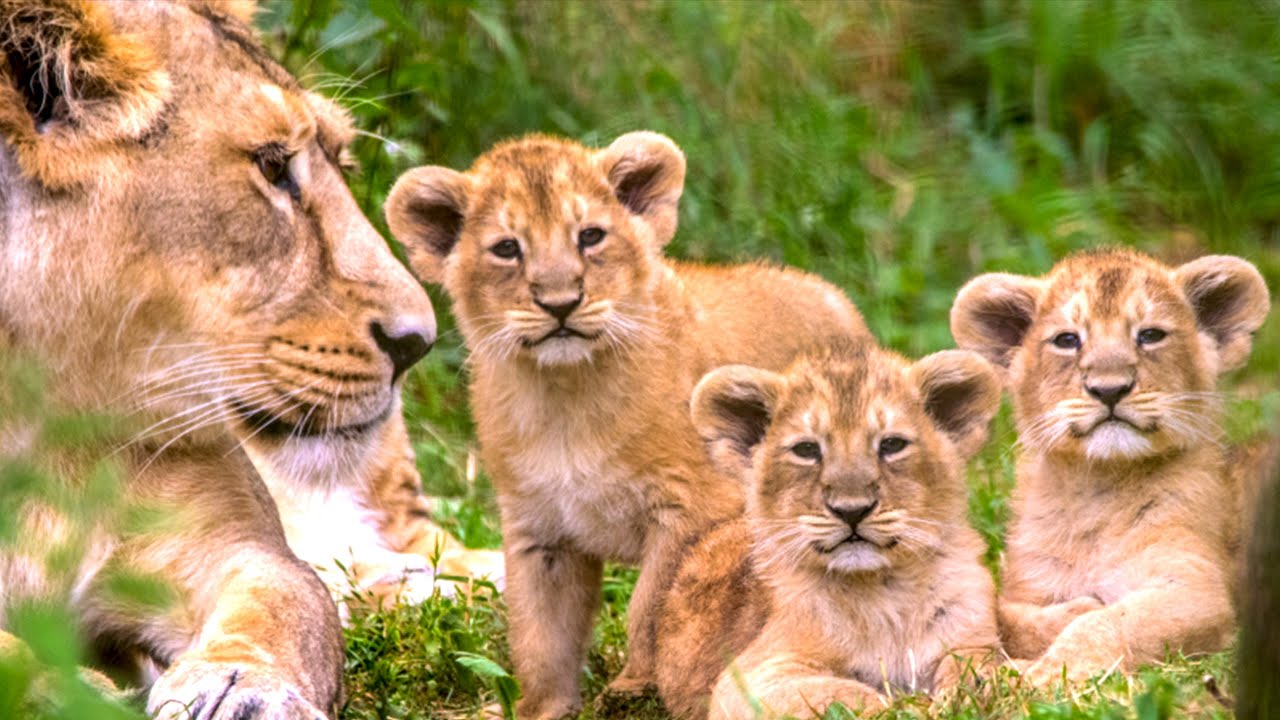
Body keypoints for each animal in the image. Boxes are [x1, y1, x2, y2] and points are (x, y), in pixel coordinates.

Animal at [0, 1, 449, 716]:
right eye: (270, 166)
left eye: (340, 159)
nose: (417, 343)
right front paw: (68, 690)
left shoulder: (235, 543)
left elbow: (284, 604)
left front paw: (245, 684)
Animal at [383, 132, 870, 719]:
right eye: (506, 248)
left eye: (590, 236)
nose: (560, 303)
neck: (564, 399)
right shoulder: (537, 529)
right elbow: (540, 635)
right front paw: (540, 708)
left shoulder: (690, 509)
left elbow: (650, 607)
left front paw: (634, 688)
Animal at [655, 340, 1003, 720]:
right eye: (807, 450)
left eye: (892, 445)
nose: (852, 510)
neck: (883, 594)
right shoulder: (750, 677)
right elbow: (844, 693)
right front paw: (908, 707)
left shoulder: (971, 640)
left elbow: (985, 671)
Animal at [949, 248, 1271, 686]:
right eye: (1067, 340)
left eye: (1150, 335)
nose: (1109, 389)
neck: (1097, 490)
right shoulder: (1028, 586)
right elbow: (1006, 616)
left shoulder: (1198, 591)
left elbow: (1106, 622)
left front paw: (1043, 674)